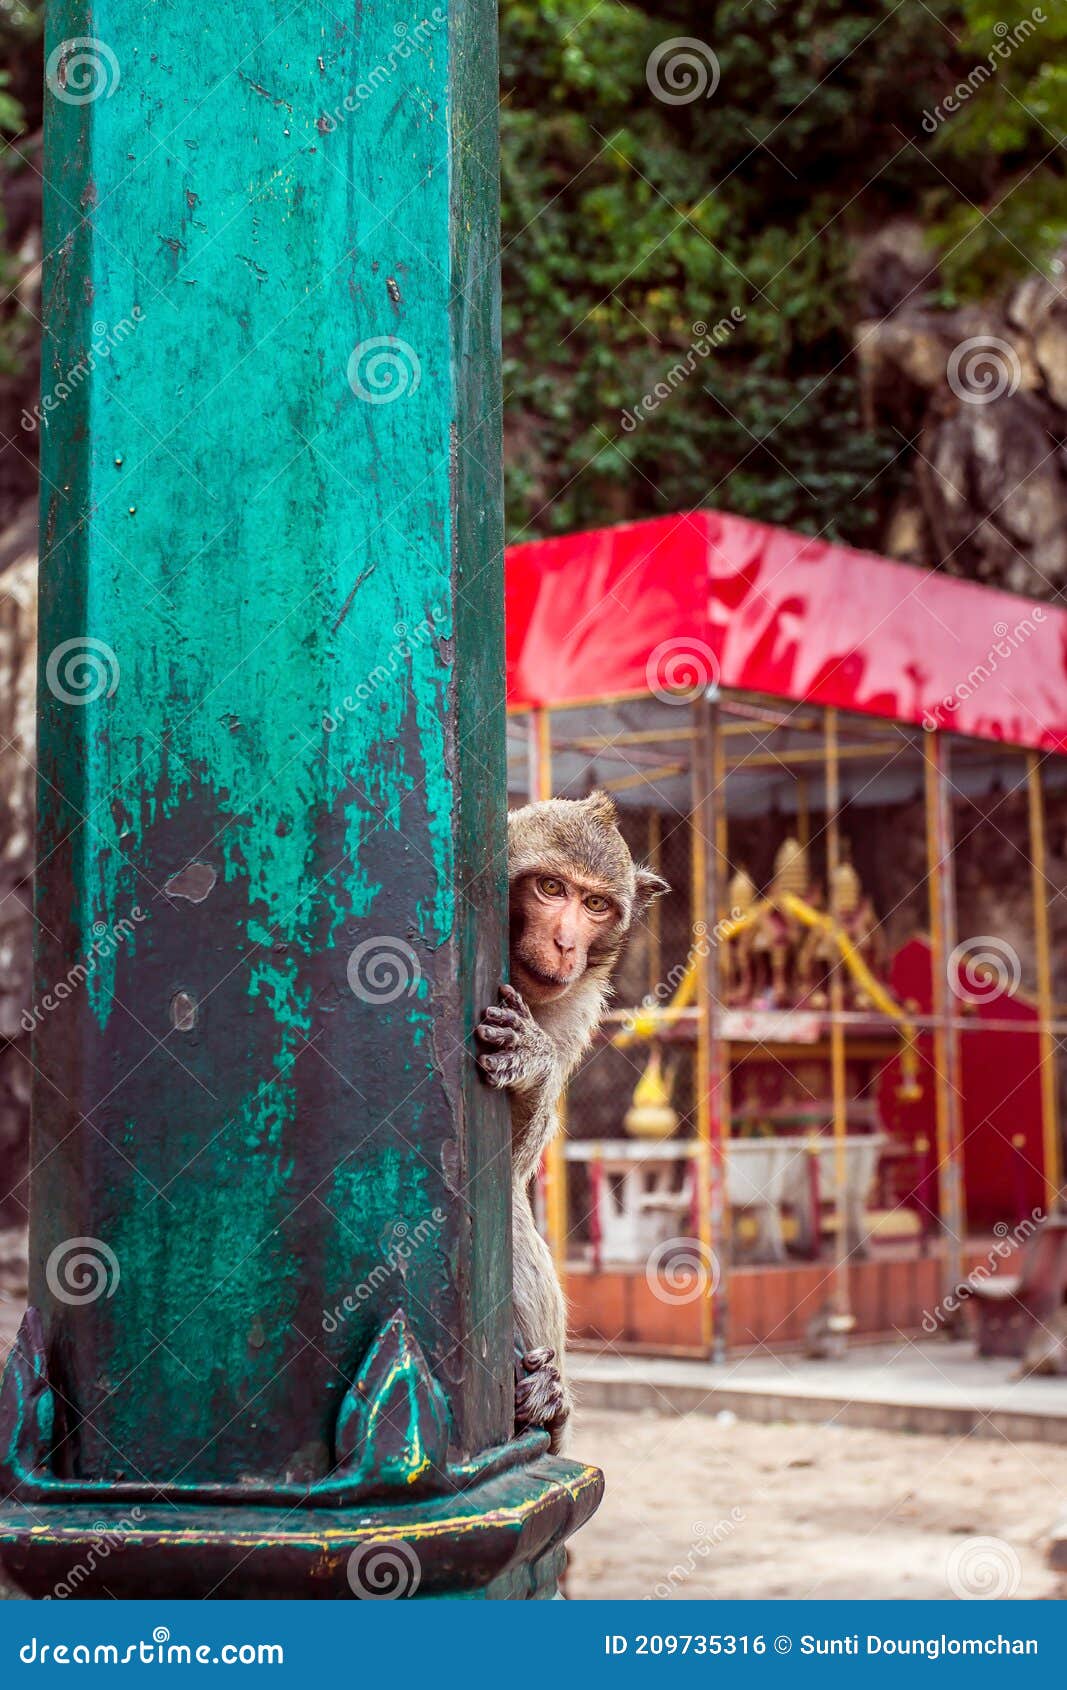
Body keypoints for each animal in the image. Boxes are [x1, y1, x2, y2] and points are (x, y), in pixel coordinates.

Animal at [475, 791, 669, 1452]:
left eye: (595, 905)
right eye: (551, 888)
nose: (564, 943)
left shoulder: (571, 1004)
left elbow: (506, 1171)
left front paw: (531, 1062)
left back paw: (546, 1411)